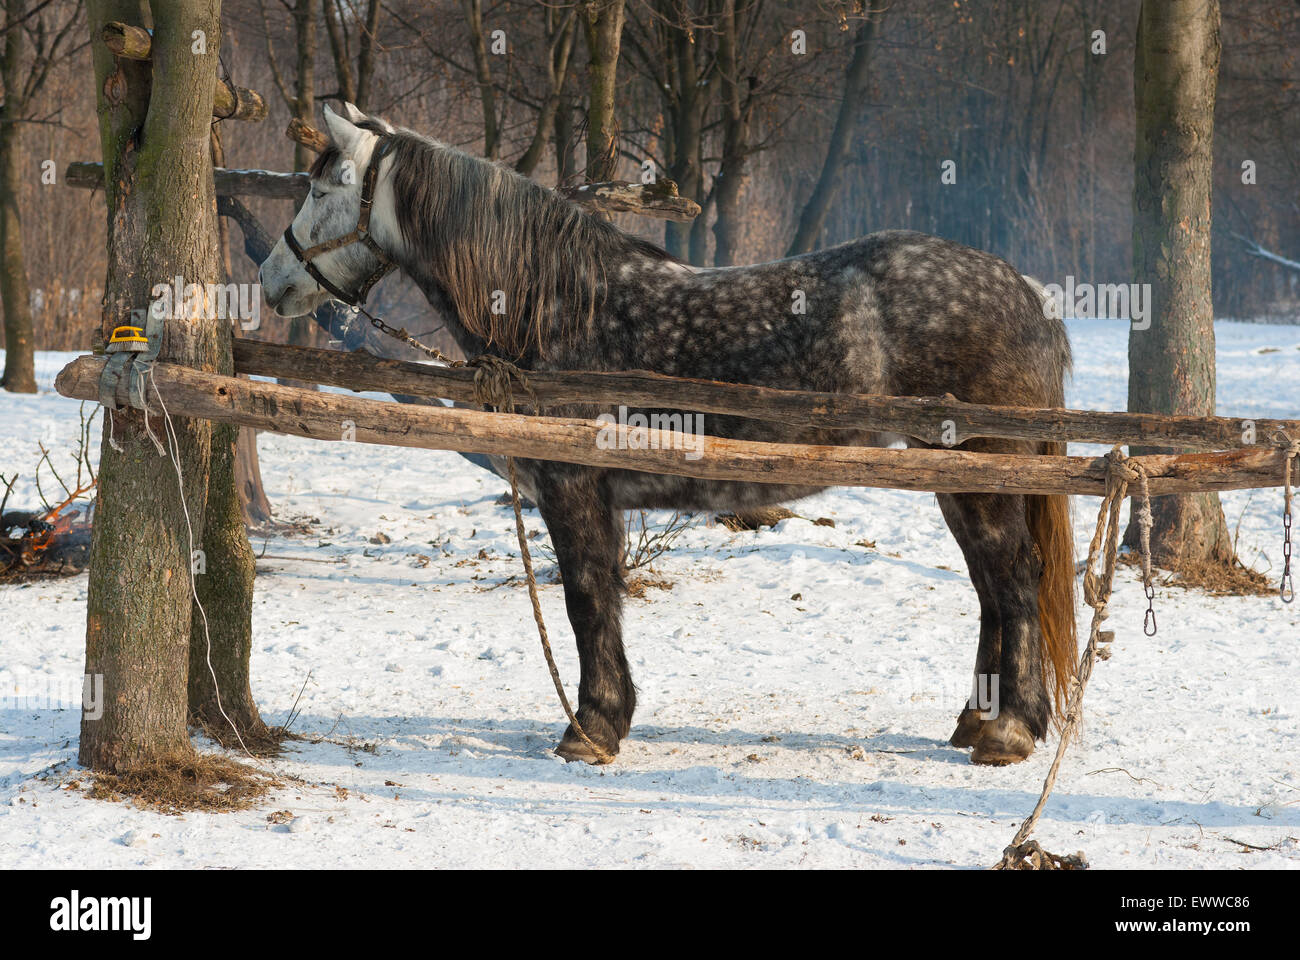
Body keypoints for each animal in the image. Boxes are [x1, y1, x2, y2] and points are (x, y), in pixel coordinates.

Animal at [260, 103, 1077, 767]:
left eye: (324, 188)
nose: (271, 279)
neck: (558, 306)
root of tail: (1024, 292)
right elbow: (603, 598)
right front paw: (609, 717)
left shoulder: (573, 488)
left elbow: (587, 599)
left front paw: (590, 728)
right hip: (954, 481)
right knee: (991, 586)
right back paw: (980, 721)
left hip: (980, 472)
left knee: (1012, 579)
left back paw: (1008, 732)